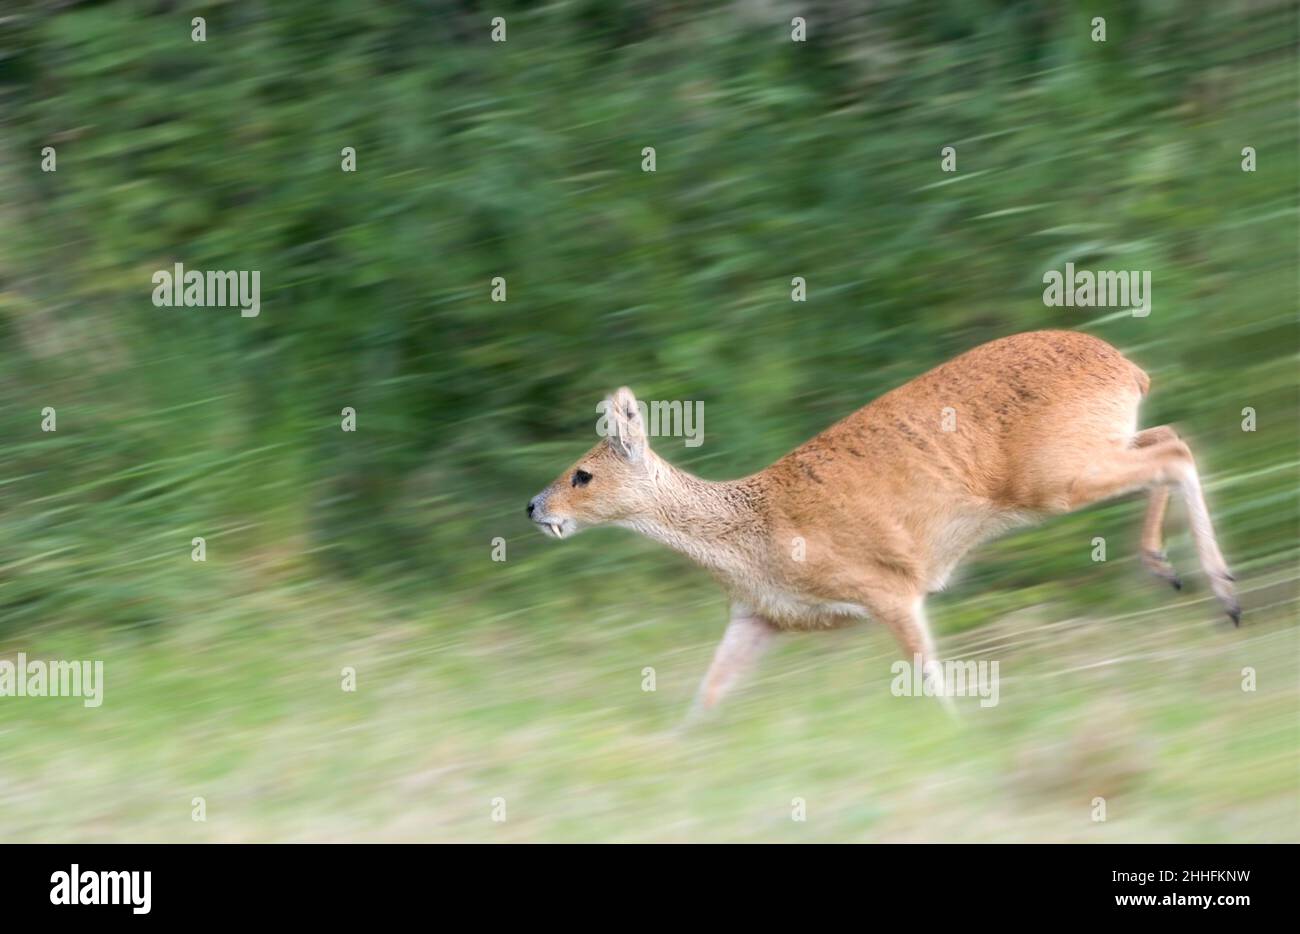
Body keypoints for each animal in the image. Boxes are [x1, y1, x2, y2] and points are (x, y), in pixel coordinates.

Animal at [526, 330, 1239, 716]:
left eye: (581, 475)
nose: (533, 508)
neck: (751, 534)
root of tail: (1129, 366)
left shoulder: (889, 587)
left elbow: (929, 678)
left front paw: (960, 733)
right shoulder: (758, 617)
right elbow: (705, 697)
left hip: (1054, 478)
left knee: (1175, 454)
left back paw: (1224, 595)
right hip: (1086, 455)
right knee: (1169, 438)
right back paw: (1170, 570)